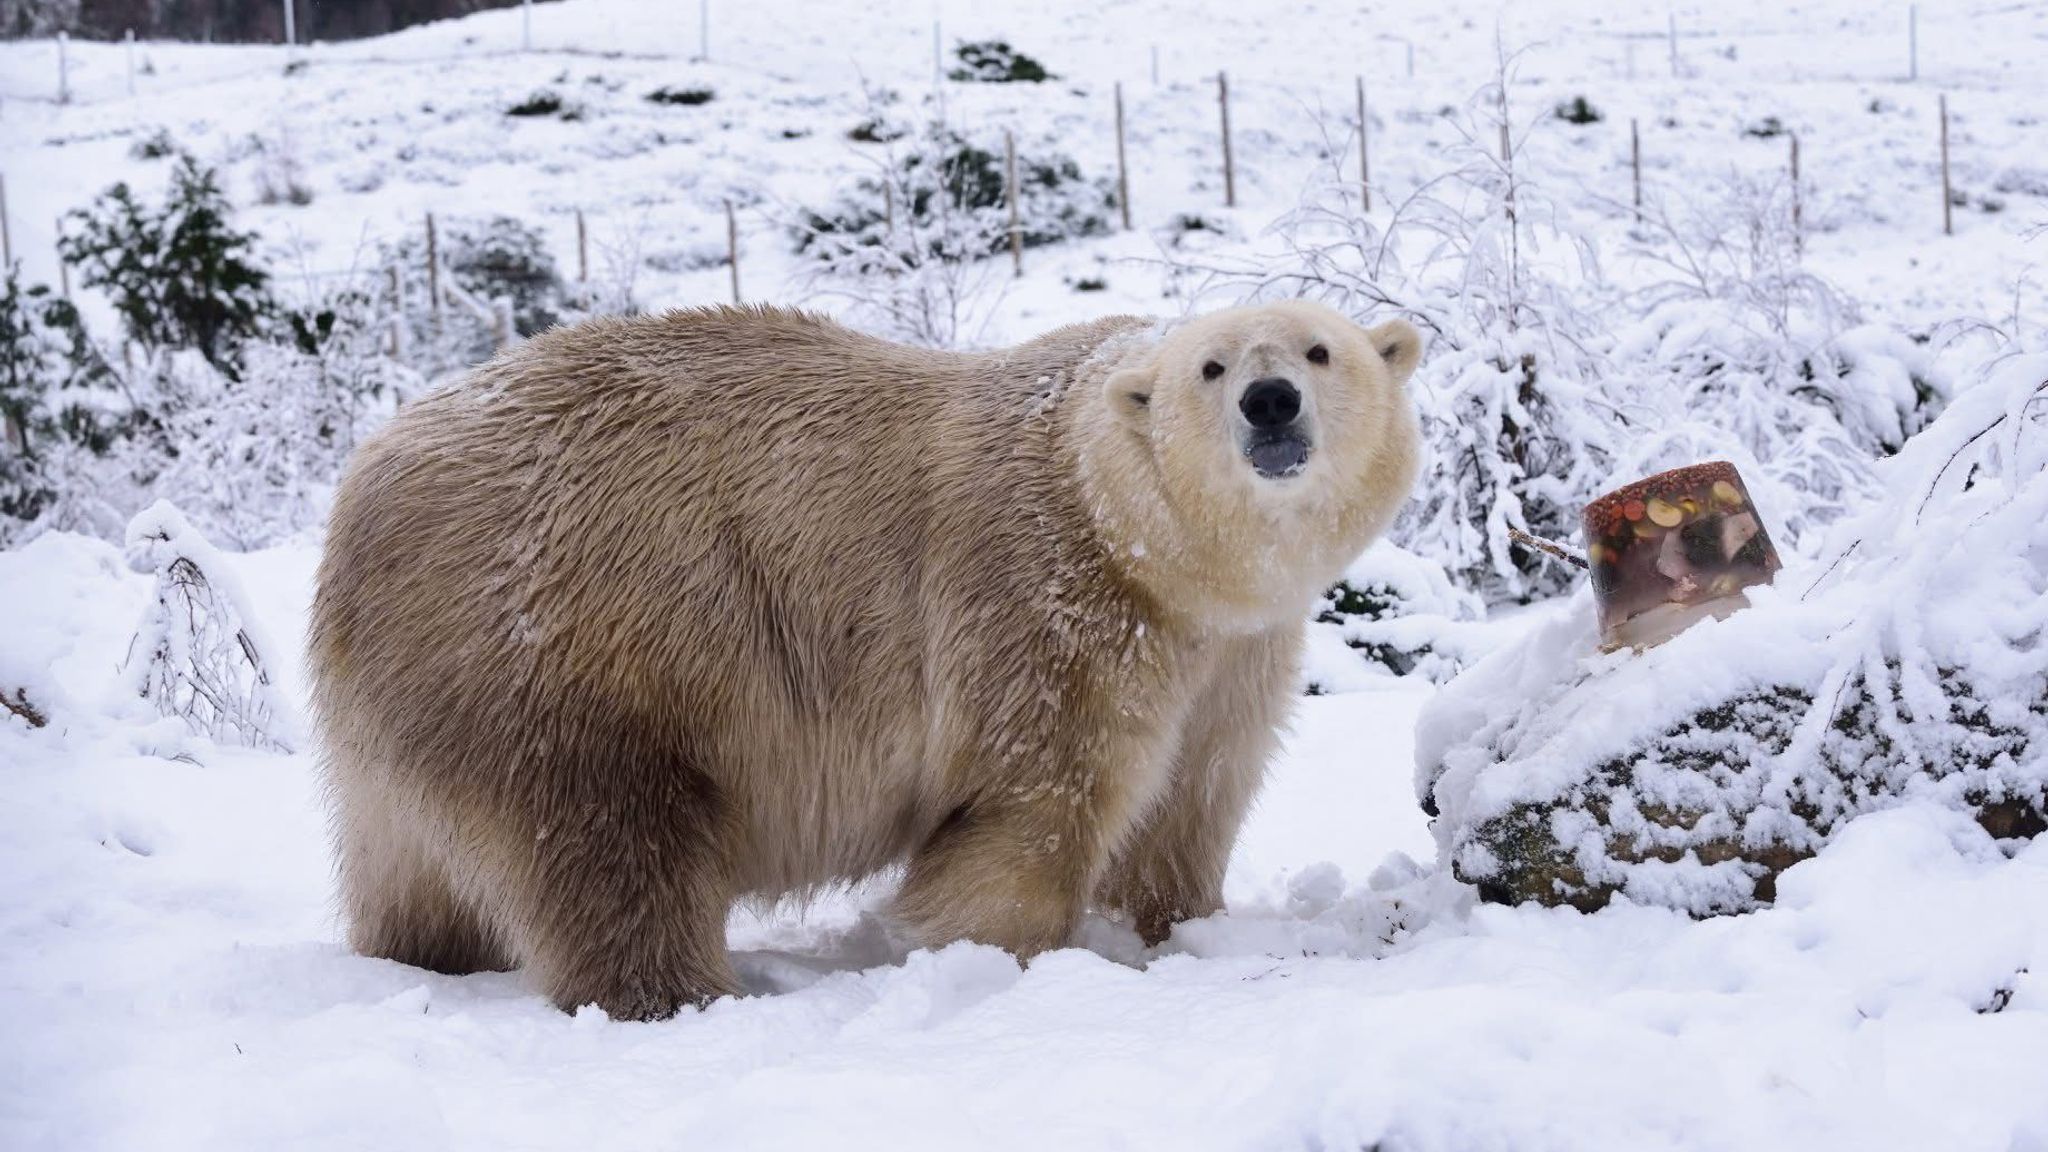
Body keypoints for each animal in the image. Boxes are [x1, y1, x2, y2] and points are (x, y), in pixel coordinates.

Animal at [309, 300, 1422, 1020]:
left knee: (410, 867)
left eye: (1320, 350)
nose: (1270, 402)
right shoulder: (1045, 603)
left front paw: (1179, 925)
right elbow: (1032, 806)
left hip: (420, 695)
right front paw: (1001, 957)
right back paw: (678, 995)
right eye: (1210, 367)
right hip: (578, 647)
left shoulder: (1235, 651)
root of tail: (361, 493)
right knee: (610, 843)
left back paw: (426, 957)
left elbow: (1194, 796)